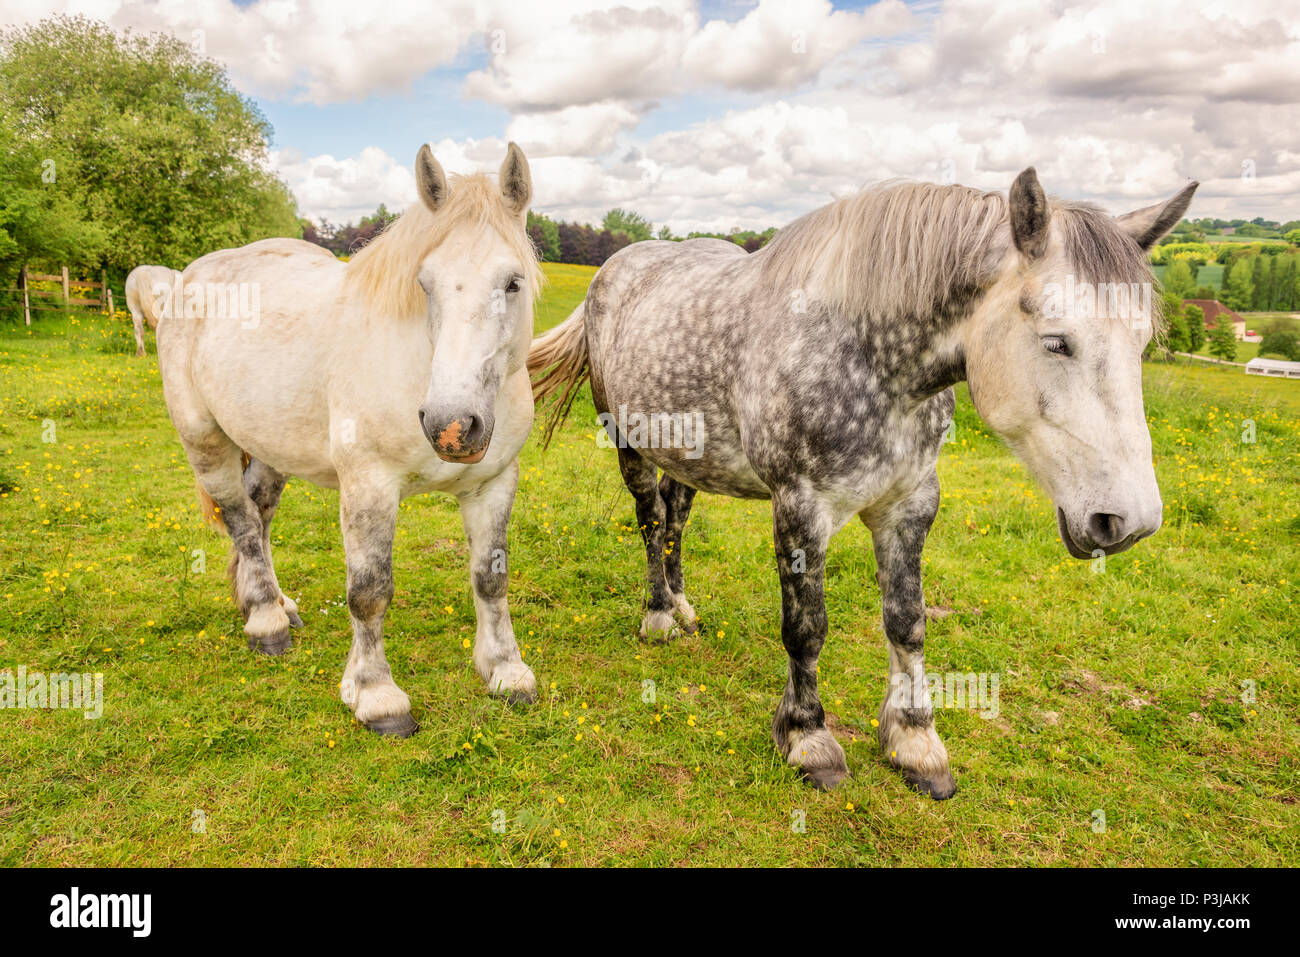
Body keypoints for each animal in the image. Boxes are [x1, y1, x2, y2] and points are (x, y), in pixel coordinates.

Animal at [157, 142, 542, 735]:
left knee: (259, 515)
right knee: (241, 521)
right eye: (424, 284)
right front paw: (376, 696)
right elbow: (369, 593)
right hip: (204, 440)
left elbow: (490, 578)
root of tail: (193, 274)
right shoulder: (368, 486)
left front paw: (505, 670)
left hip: (271, 446)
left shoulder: (494, 482)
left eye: (513, 282)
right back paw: (266, 622)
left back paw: (273, 603)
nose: (451, 426)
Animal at [529, 167, 1197, 797]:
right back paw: (659, 615)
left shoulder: (910, 506)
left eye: (1141, 342)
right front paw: (808, 739)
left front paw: (916, 742)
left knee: (676, 514)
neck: (870, 355)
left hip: (687, 452)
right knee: (649, 520)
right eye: (1057, 341)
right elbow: (806, 629)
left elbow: (908, 620)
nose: (1129, 521)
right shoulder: (801, 508)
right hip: (629, 444)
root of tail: (616, 269)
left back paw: (682, 602)